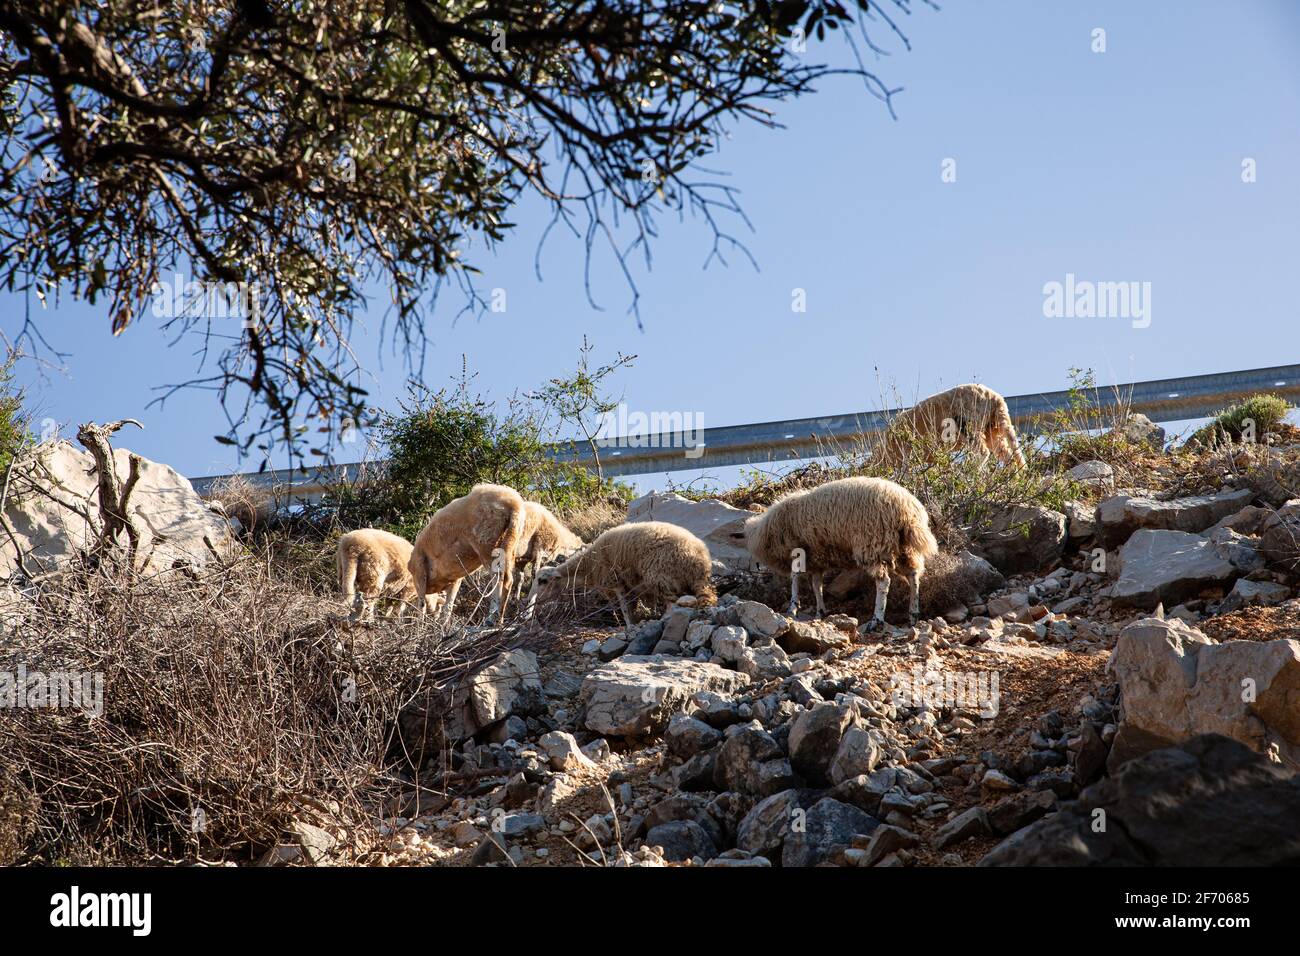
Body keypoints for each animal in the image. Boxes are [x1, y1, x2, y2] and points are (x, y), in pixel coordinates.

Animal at [408, 483, 527, 627]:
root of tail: (513, 503)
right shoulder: (454, 579)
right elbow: (448, 605)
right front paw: (444, 626)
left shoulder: (419, 570)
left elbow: (421, 604)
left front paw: (420, 625)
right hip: (511, 542)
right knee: (508, 579)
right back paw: (500, 620)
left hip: (487, 544)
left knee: (498, 577)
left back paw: (490, 619)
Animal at [532, 521, 716, 634]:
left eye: (542, 581)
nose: (531, 603)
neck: (588, 566)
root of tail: (700, 563)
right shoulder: (630, 587)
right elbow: (631, 608)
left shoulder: (615, 582)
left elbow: (625, 609)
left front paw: (629, 626)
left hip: (659, 573)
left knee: (673, 606)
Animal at [731, 476, 938, 629]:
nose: (756, 566)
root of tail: (908, 509)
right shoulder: (816, 560)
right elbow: (817, 586)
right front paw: (820, 611)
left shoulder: (798, 551)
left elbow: (795, 578)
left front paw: (793, 607)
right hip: (904, 548)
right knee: (913, 576)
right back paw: (913, 615)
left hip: (871, 543)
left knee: (884, 582)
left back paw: (876, 620)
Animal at [876, 383, 1025, 468]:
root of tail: (997, 400)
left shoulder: (907, 452)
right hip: (993, 430)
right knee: (1009, 456)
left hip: (969, 424)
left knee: (983, 452)